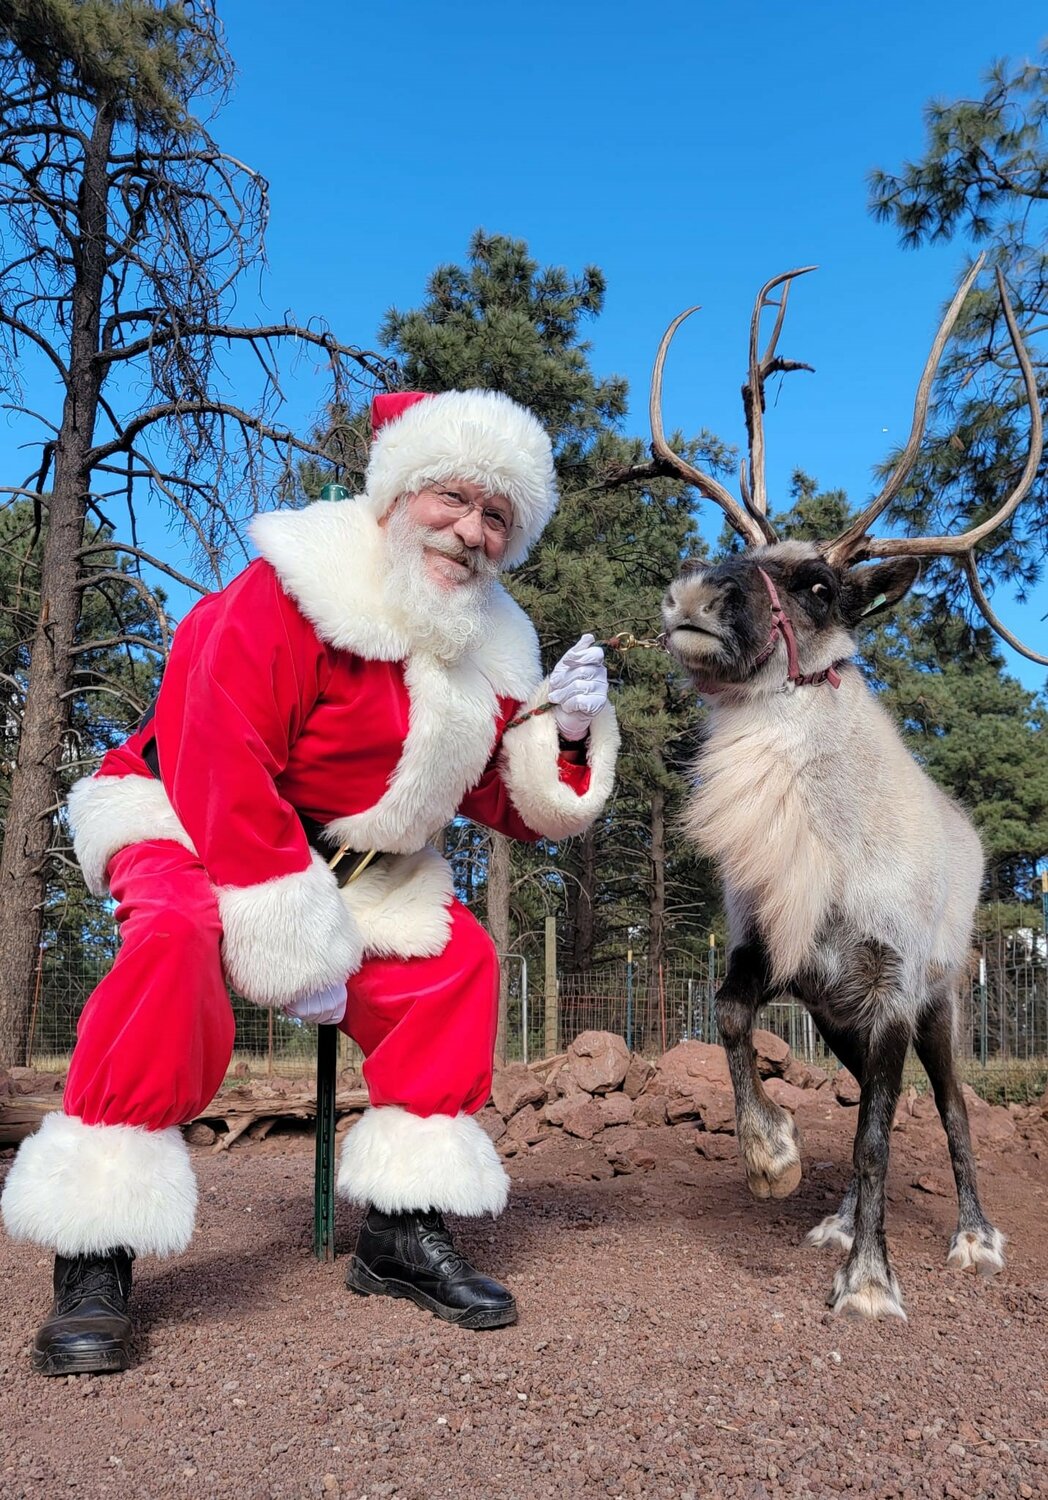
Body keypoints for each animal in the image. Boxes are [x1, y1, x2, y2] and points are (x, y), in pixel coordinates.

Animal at [650, 257, 1044, 1320]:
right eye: (741, 547)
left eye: (821, 585)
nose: (692, 592)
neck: (825, 838)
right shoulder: (781, 958)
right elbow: (731, 1018)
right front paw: (772, 1159)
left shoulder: (894, 989)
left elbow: (877, 1135)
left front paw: (869, 1281)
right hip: (839, 1021)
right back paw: (832, 1219)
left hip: (945, 1002)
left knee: (944, 1111)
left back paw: (974, 1236)